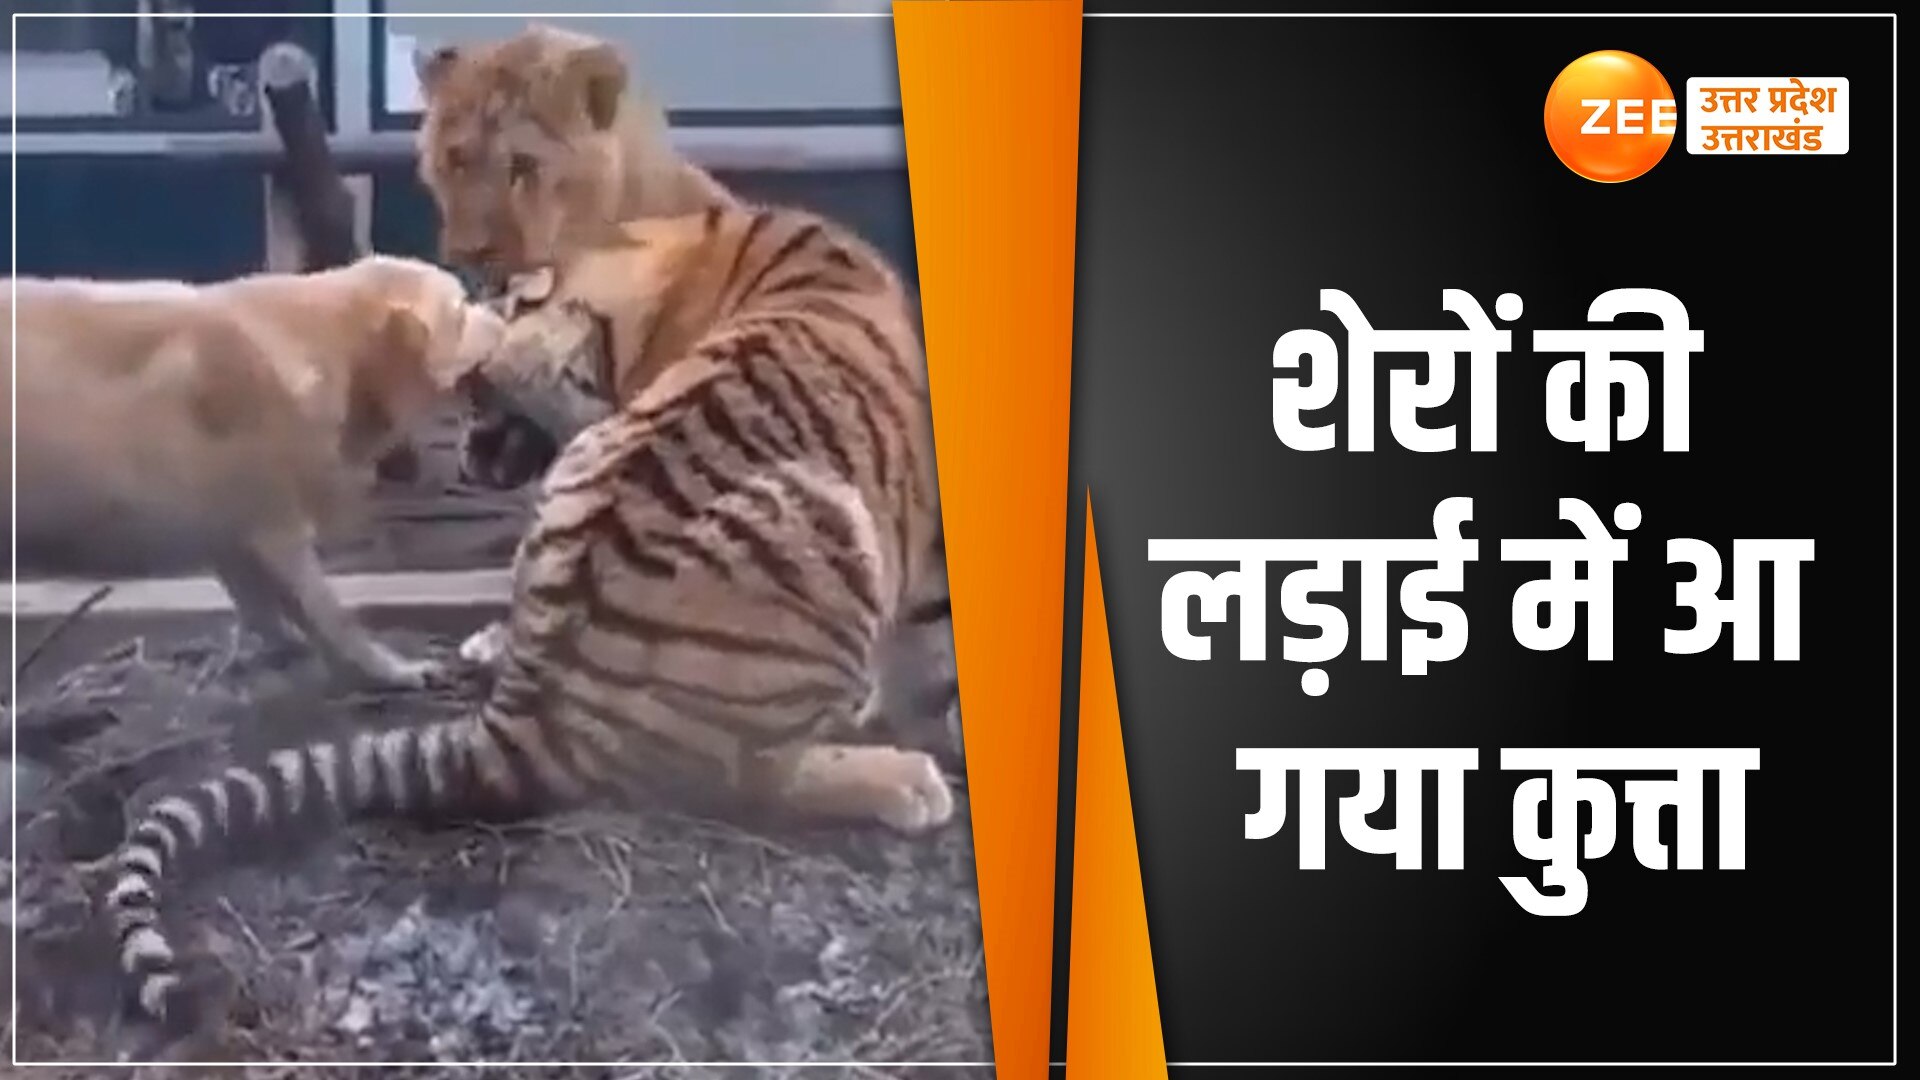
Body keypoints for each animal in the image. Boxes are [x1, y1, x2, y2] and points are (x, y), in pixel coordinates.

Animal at [102, 202, 959, 1033]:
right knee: (752, 777)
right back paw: (903, 780)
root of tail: (534, 707)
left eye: (489, 378)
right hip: (820, 519)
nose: (466, 405)